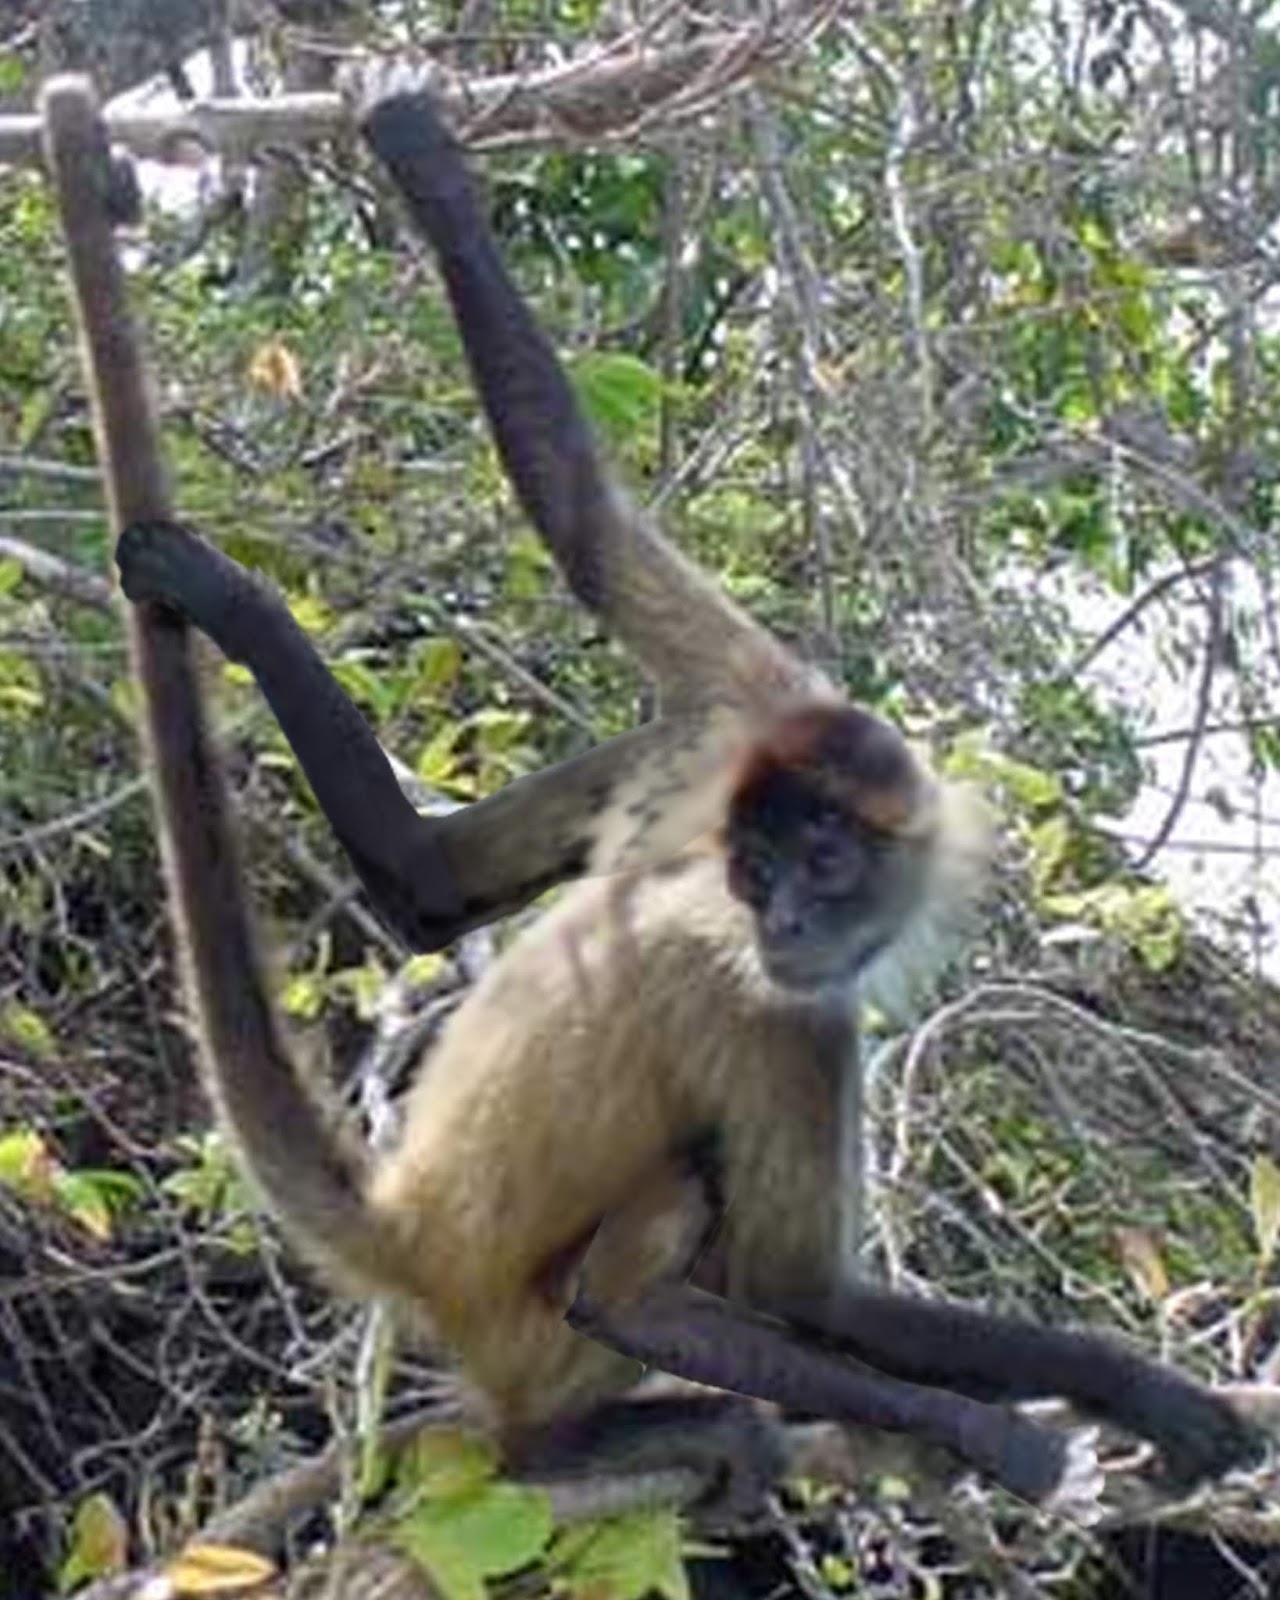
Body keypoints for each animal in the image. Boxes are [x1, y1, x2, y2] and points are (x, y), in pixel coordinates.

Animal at [48, 67, 1261, 1520]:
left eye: (820, 864)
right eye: (763, 876)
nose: (784, 919)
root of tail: (412, 1227)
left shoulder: (748, 701)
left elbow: (557, 578)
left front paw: (422, 168)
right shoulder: (792, 1016)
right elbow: (811, 1292)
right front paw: (1100, 1399)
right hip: (529, 1319)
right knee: (649, 1257)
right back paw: (588, 1439)